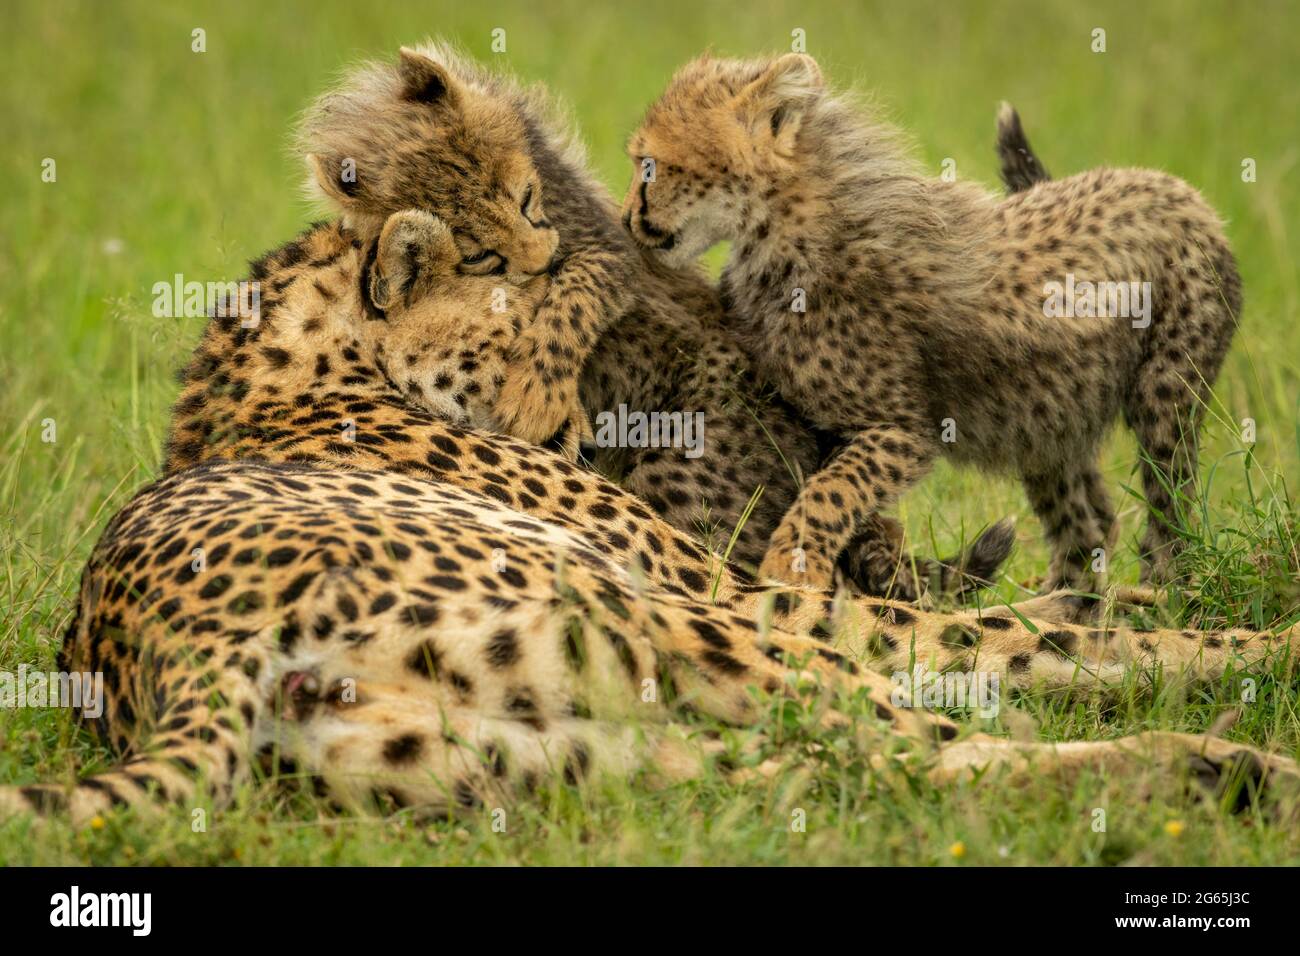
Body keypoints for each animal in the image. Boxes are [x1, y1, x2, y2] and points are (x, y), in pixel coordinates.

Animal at [3, 208, 1295, 825]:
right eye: (539, 320)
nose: (578, 424)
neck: (304, 372)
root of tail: (160, 641)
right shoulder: (778, 602)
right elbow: (1054, 635)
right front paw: (1258, 641)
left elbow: (1057, 623)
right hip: (670, 627)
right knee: (906, 742)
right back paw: (1227, 762)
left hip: (561, 753)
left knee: (853, 772)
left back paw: (1203, 779)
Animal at [294, 40, 1012, 603]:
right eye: (478, 253)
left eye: (524, 197)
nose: (542, 256)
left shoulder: (608, 250)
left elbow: (576, 294)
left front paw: (538, 393)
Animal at [621, 53, 1242, 595]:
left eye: (650, 165)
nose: (628, 219)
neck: (780, 230)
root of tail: (1171, 186)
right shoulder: (806, 418)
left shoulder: (902, 430)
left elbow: (831, 490)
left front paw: (793, 566)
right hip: (1046, 421)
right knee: (1088, 524)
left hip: (1166, 396)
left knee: (1168, 517)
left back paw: (1159, 598)